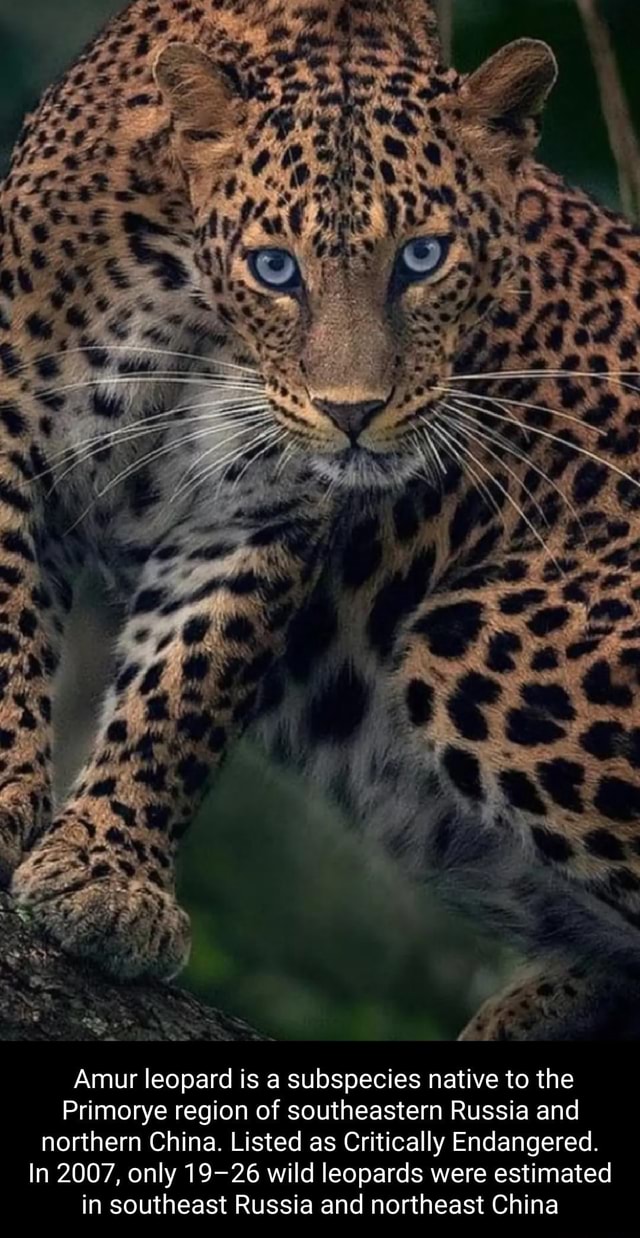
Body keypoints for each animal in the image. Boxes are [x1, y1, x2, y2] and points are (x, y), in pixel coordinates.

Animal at [1, 0, 640, 1041]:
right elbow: (10, 625)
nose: (351, 413)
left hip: (484, 630)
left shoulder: (262, 514)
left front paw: (107, 875)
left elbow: (186, 687)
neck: (189, 309)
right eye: (276, 268)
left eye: (422, 258)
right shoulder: (11, 427)